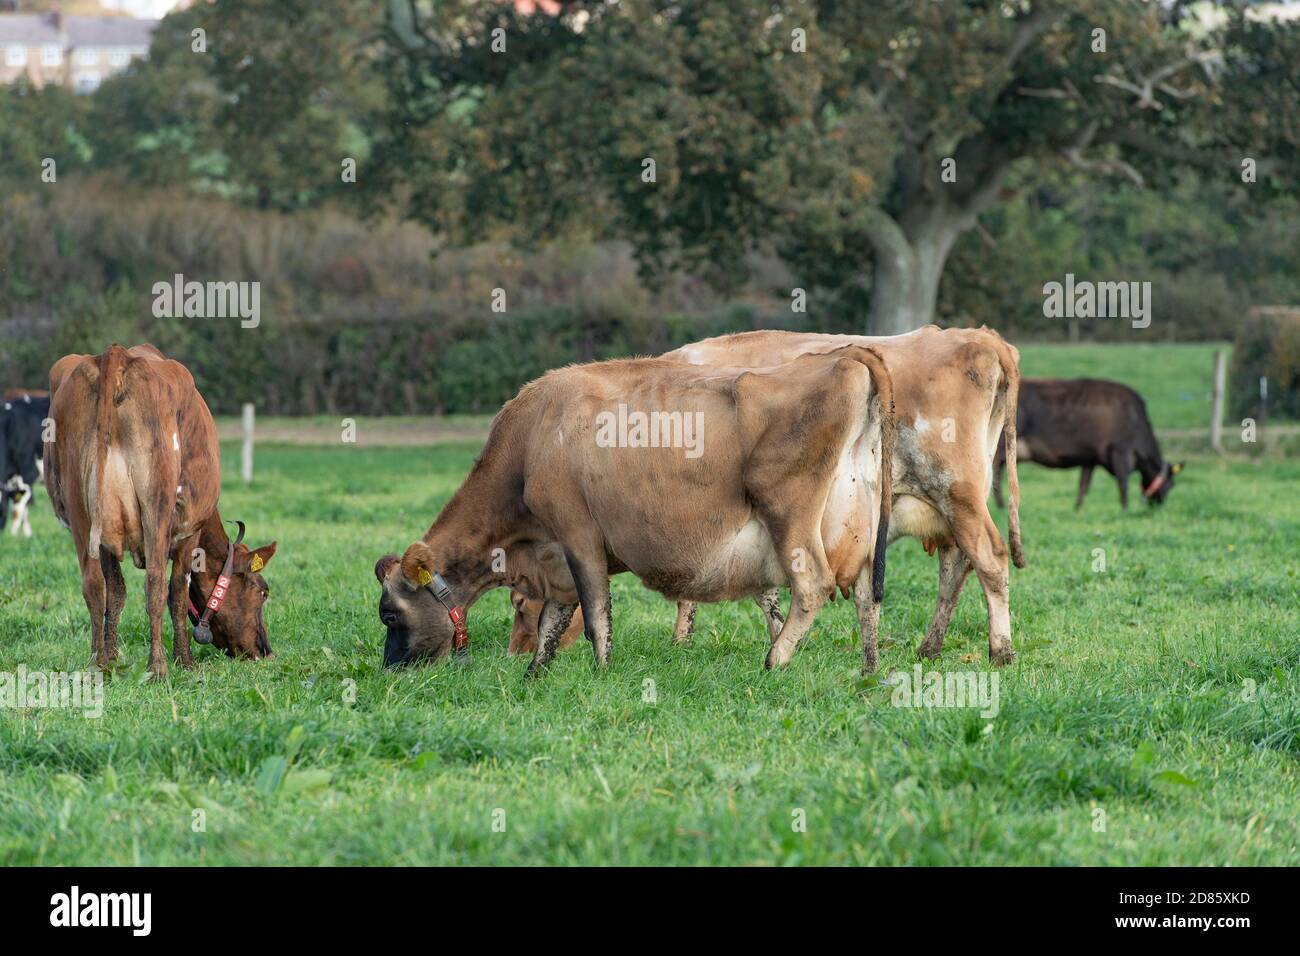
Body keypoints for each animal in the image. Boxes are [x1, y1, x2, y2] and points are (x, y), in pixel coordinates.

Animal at [45, 344, 277, 677]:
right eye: (262, 591)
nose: (265, 651)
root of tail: (116, 356)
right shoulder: (189, 532)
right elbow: (176, 592)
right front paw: (185, 660)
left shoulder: (103, 539)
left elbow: (115, 593)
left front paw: (110, 659)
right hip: (157, 502)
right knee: (154, 584)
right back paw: (157, 667)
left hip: (81, 509)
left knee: (93, 585)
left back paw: (95, 665)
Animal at [375, 346, 895, 675]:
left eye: (390, 616)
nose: (390, 670)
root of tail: (845, 357)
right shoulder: (555, 554)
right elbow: (554, 621)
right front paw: (535, 672)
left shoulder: (578, 533)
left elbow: (595, 614)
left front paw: (602, 671)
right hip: (863, 520)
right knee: (866, 595)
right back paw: (868, 671)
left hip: (789, 516)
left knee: (812, 585)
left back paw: (775, 662)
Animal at [660, 326, 1024, 667]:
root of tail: (980, 337)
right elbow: (764, 590)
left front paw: (682, 641)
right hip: (946, 506)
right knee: (957, 564)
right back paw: (930, 648)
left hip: (954, 490)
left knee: (990, 559)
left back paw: (1001, 652)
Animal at [993, 377, 1183, 511]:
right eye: (1171, 485)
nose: (1158, 507)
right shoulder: (1120, 451)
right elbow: (1123, 483)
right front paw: (1125, 508)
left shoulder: (1089, 458)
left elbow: (1084, 485)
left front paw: (1077, 508)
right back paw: (1000, 506)